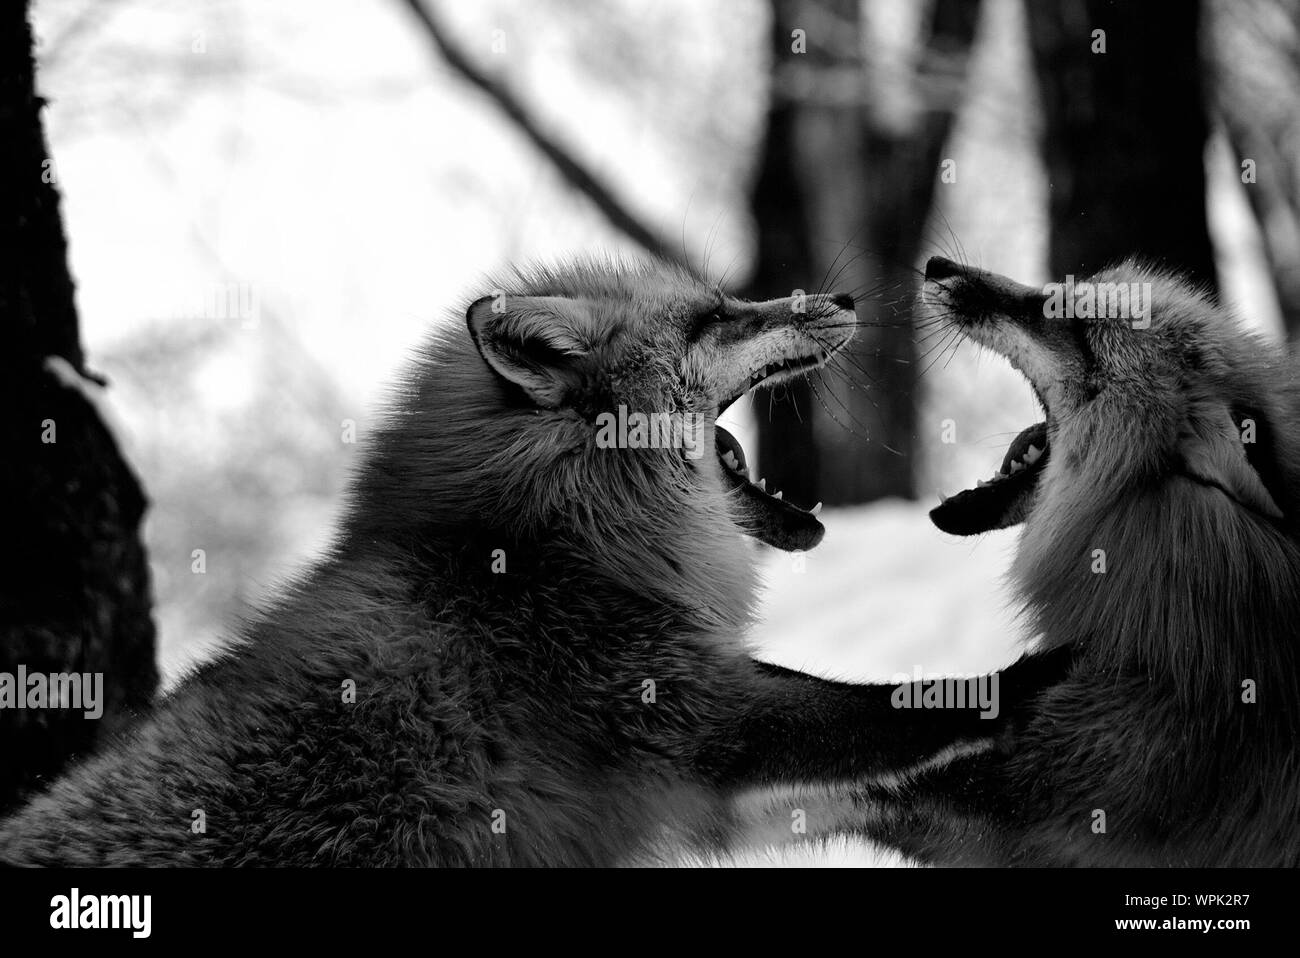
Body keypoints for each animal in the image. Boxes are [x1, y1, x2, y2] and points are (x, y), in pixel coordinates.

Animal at [0, 257, 1067, 867]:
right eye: (713, 321)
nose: (842, 296)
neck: (552, 551)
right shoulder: (679, 718)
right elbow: (883, 710)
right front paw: (1024, 677)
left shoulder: (684, 797)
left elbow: (868, 775)